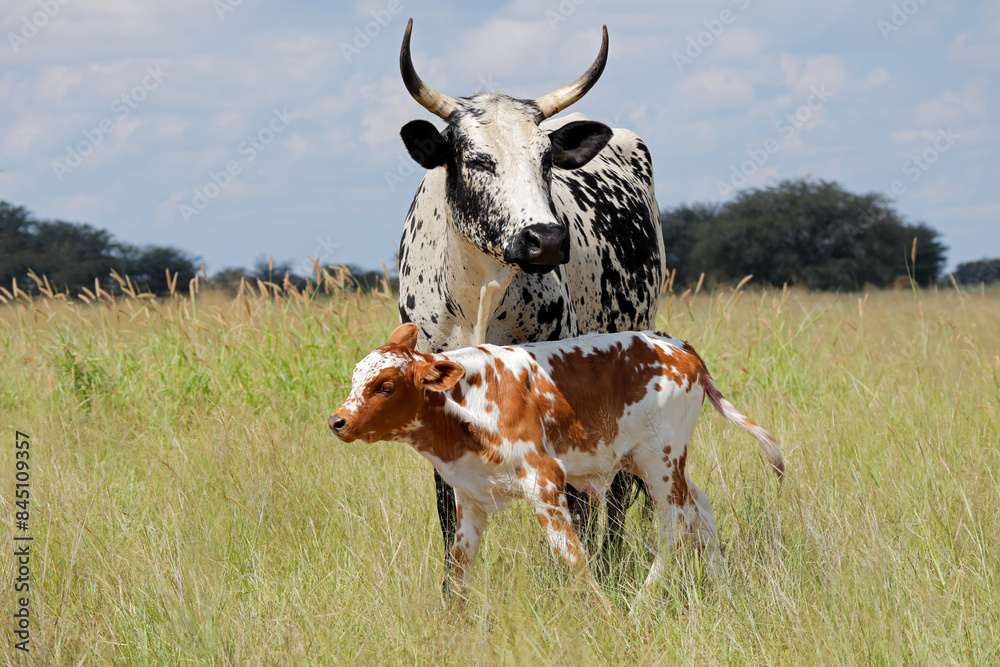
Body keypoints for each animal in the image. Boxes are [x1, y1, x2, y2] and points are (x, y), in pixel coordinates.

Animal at [328, 323, 785, 601]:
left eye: (386, 385)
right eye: (354, 378)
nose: (338, 421)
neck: (471, 401)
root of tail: (674, 344)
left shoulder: (544, 480)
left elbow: (572, 557)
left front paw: (603, 613)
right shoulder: (470, 496)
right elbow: (459, 566)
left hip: (662, 461)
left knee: (673, 526)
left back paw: (641, 603)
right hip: (651, 463)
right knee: (701, 512)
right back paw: (721, 589)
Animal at [394, 20, 666, 588]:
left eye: (545, 160)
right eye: (477, 159)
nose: (546, 240)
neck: (478, 295)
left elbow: (571, 502)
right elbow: (449, 505)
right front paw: (454, 589)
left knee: (613, 489)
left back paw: (609, 561)